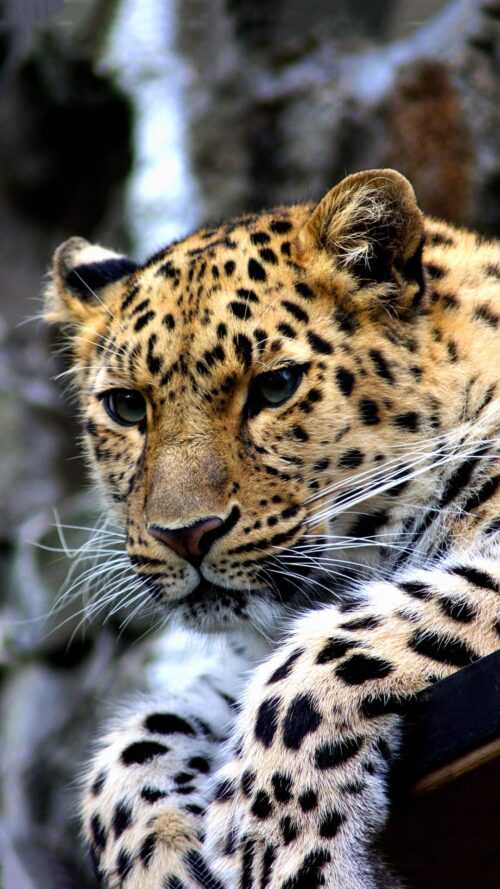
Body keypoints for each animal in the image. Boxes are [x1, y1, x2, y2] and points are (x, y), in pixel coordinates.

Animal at [43, 168, 500, 889]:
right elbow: (136, 742)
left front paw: (285, 845)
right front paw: (163, 865)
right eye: (126, 407)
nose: (184, 533)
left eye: (277, 386)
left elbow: (327, 652)